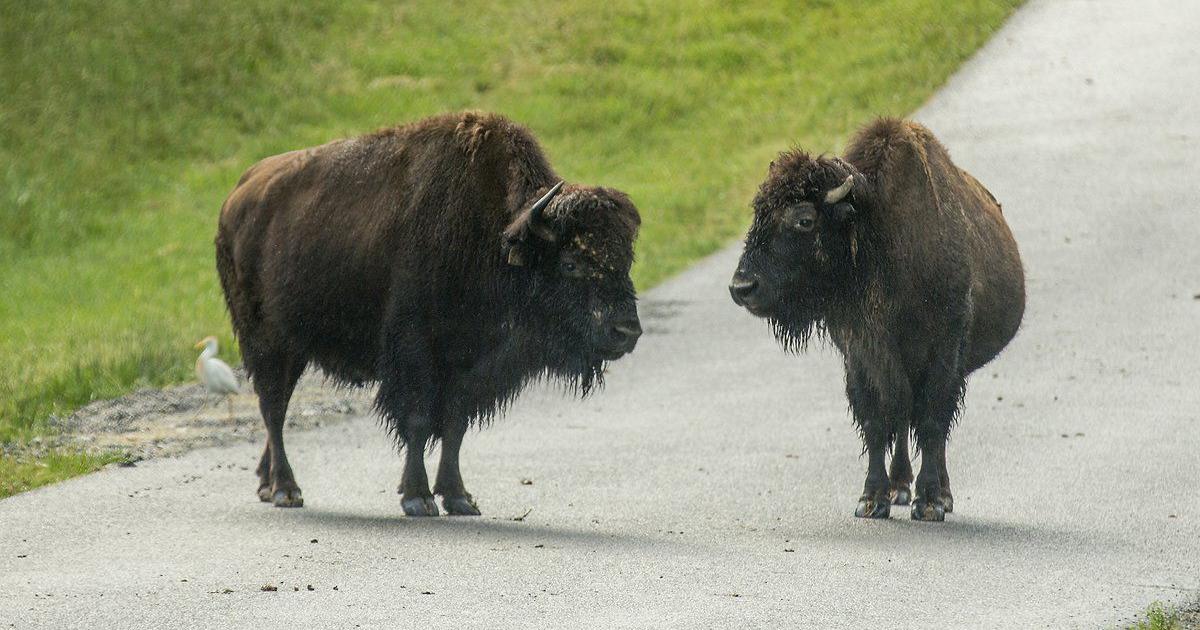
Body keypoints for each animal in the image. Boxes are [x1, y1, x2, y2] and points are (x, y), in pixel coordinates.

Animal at [216, 111, 642, 516]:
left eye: (626, 260)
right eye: (570, 263)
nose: (627, 331)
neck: (495, 236)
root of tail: (237, 195)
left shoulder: (470, 367)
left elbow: (454, 427)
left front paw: (459, 498)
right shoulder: (417, 355)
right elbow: (419, 422)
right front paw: (418, 498)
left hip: (293, 347)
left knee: (276, 408)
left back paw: (267, 483)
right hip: (266, 341)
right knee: (274, 408)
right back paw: (286, 490)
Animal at [729, 118, 1024, 521]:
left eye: (804, 220)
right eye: (758, 212)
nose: (742, 286)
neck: (877, 236)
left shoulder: (944, 351)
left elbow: (931, 421)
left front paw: (929, 502)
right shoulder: (861, 352)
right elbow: (876, 420)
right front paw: (872, 499)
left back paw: (940, 494)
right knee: (899, 418)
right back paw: (899, 487)